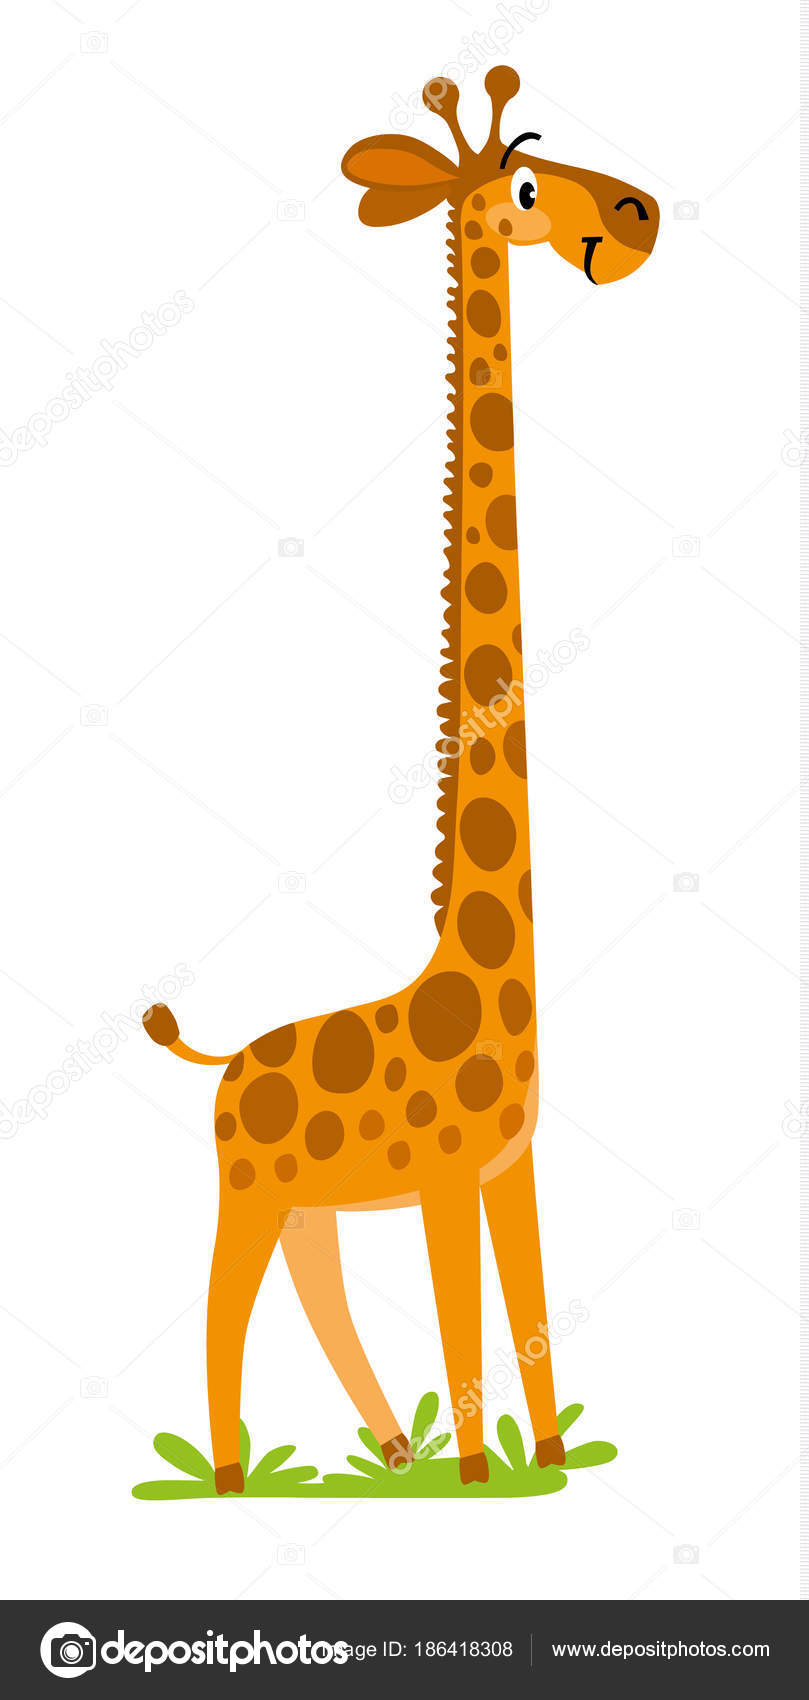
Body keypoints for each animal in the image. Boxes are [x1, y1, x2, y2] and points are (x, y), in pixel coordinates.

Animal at [144, 66, 658, 1494]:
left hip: (313, 1200)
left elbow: (526, 1302)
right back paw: (231, 1472)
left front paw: (546, 1453)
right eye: (525, 183)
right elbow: (460, 1308)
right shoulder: (440, 1176)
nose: (636, 217)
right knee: (223, 1304)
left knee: (313, 1295)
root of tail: (222, 1055)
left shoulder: (510, 1165)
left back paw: (380, 1443)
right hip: (251, 1184)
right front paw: (483, 1474)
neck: (479, 968)